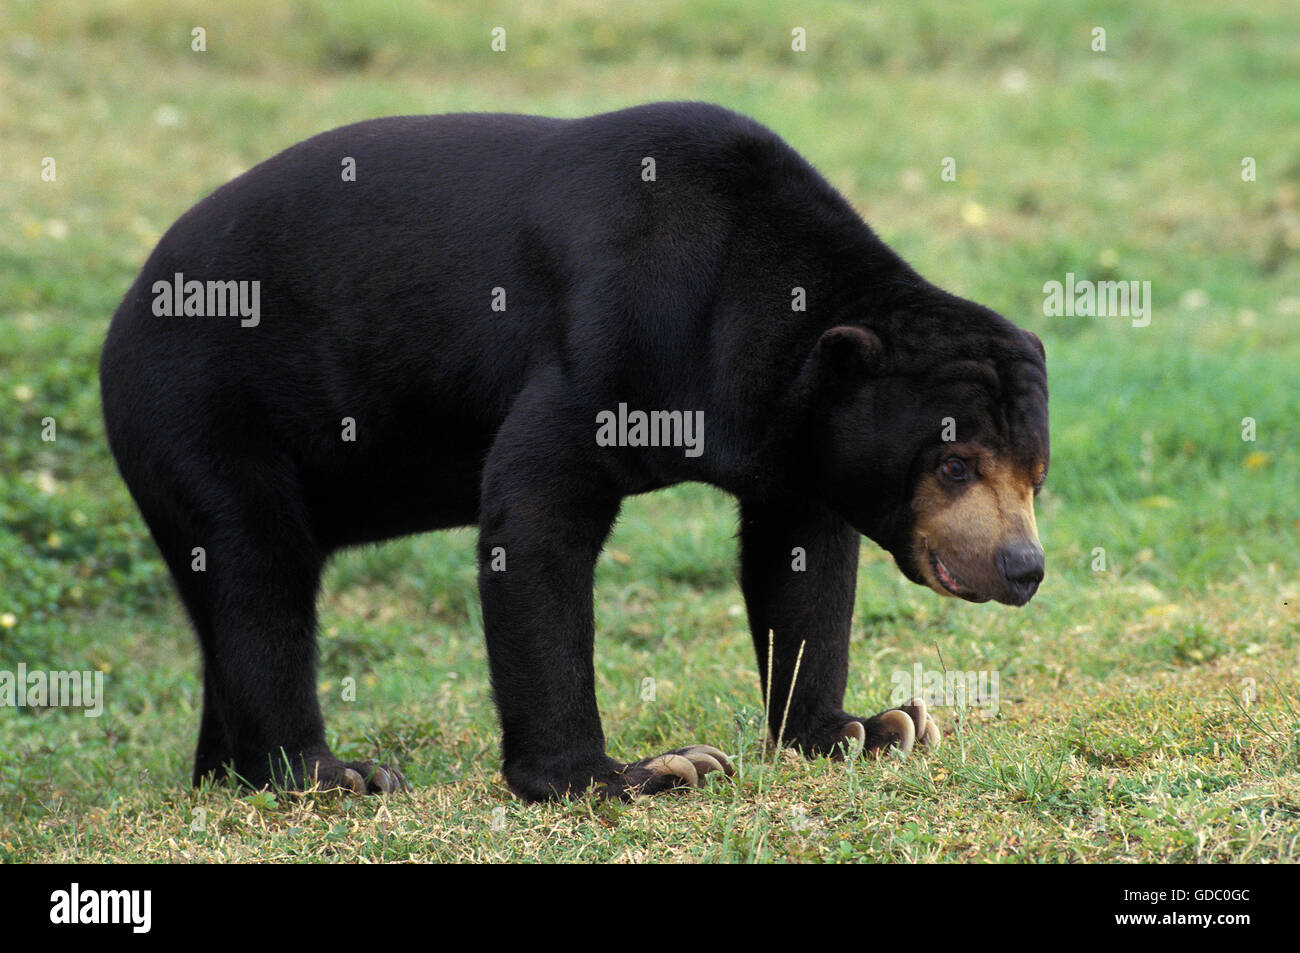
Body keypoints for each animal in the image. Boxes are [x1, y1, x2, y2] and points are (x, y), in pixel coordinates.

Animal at [100, 101, 1049, 802]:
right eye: (954, 463)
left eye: (1035, 473)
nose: (1024, 566)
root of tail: (125, 310)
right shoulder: (611, 336)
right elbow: (534, 514)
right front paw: (637, 772)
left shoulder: (797, 438)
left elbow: (803, 559)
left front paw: (870, 727)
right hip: (201, 414)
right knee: (257, 567)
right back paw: (331, 773)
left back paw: (225, 774)